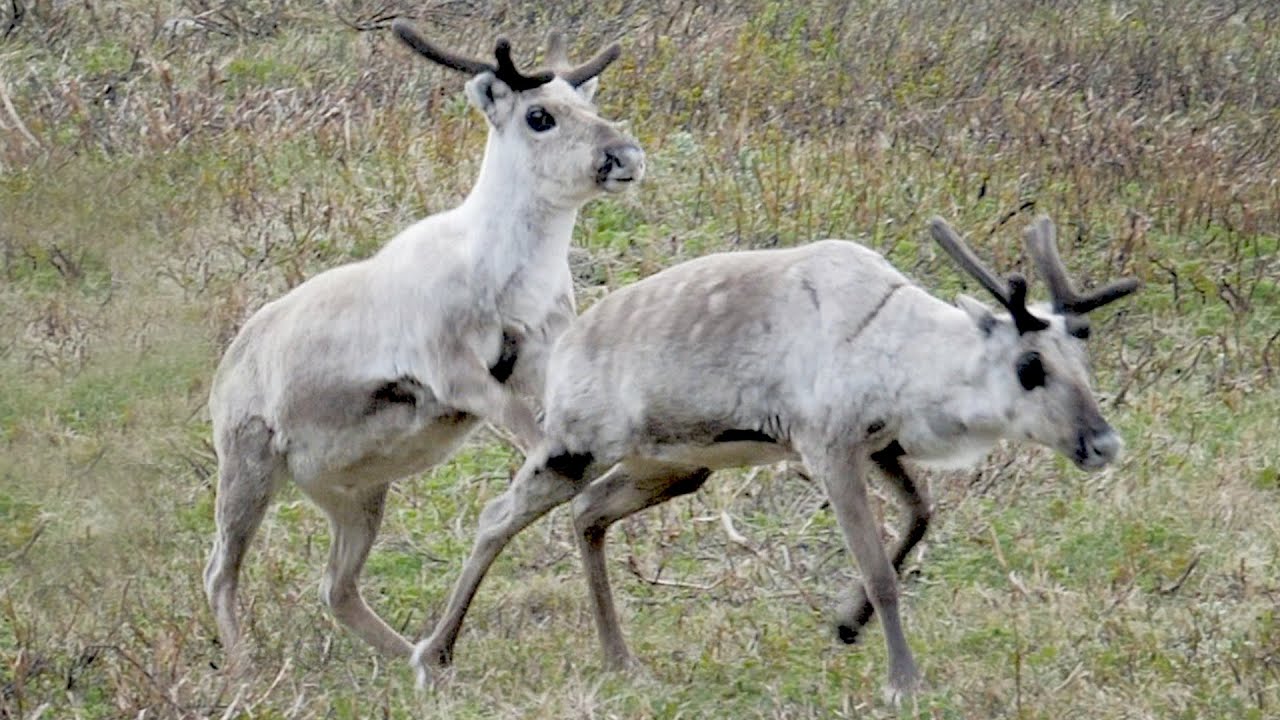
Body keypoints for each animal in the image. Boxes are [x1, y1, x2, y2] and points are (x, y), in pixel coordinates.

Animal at [203, 21, 644, 668]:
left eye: (589, 103)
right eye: (539, 115)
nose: (626, 156)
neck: (504, 273)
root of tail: (228, 364)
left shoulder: (539, 355)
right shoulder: (455, 372)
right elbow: (536, 438)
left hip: (357, 492)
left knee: (336, 588)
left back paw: (411, 654)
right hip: (248, 464)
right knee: (220, 570)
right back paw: (244, 669)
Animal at [411, 215, 1139, 699]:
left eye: (1082, 357)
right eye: (1029, 366)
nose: (1103, 443)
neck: (902, 350)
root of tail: (562, 342)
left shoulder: (880, 444)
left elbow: (921, 516)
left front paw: (847, 625)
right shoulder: (827, 444)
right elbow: (880, 569)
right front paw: (903, 680)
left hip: (676, 465)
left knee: (588, 513)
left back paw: (621, 661)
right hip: (576, 442)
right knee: (500, 515)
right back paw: (433, 653)